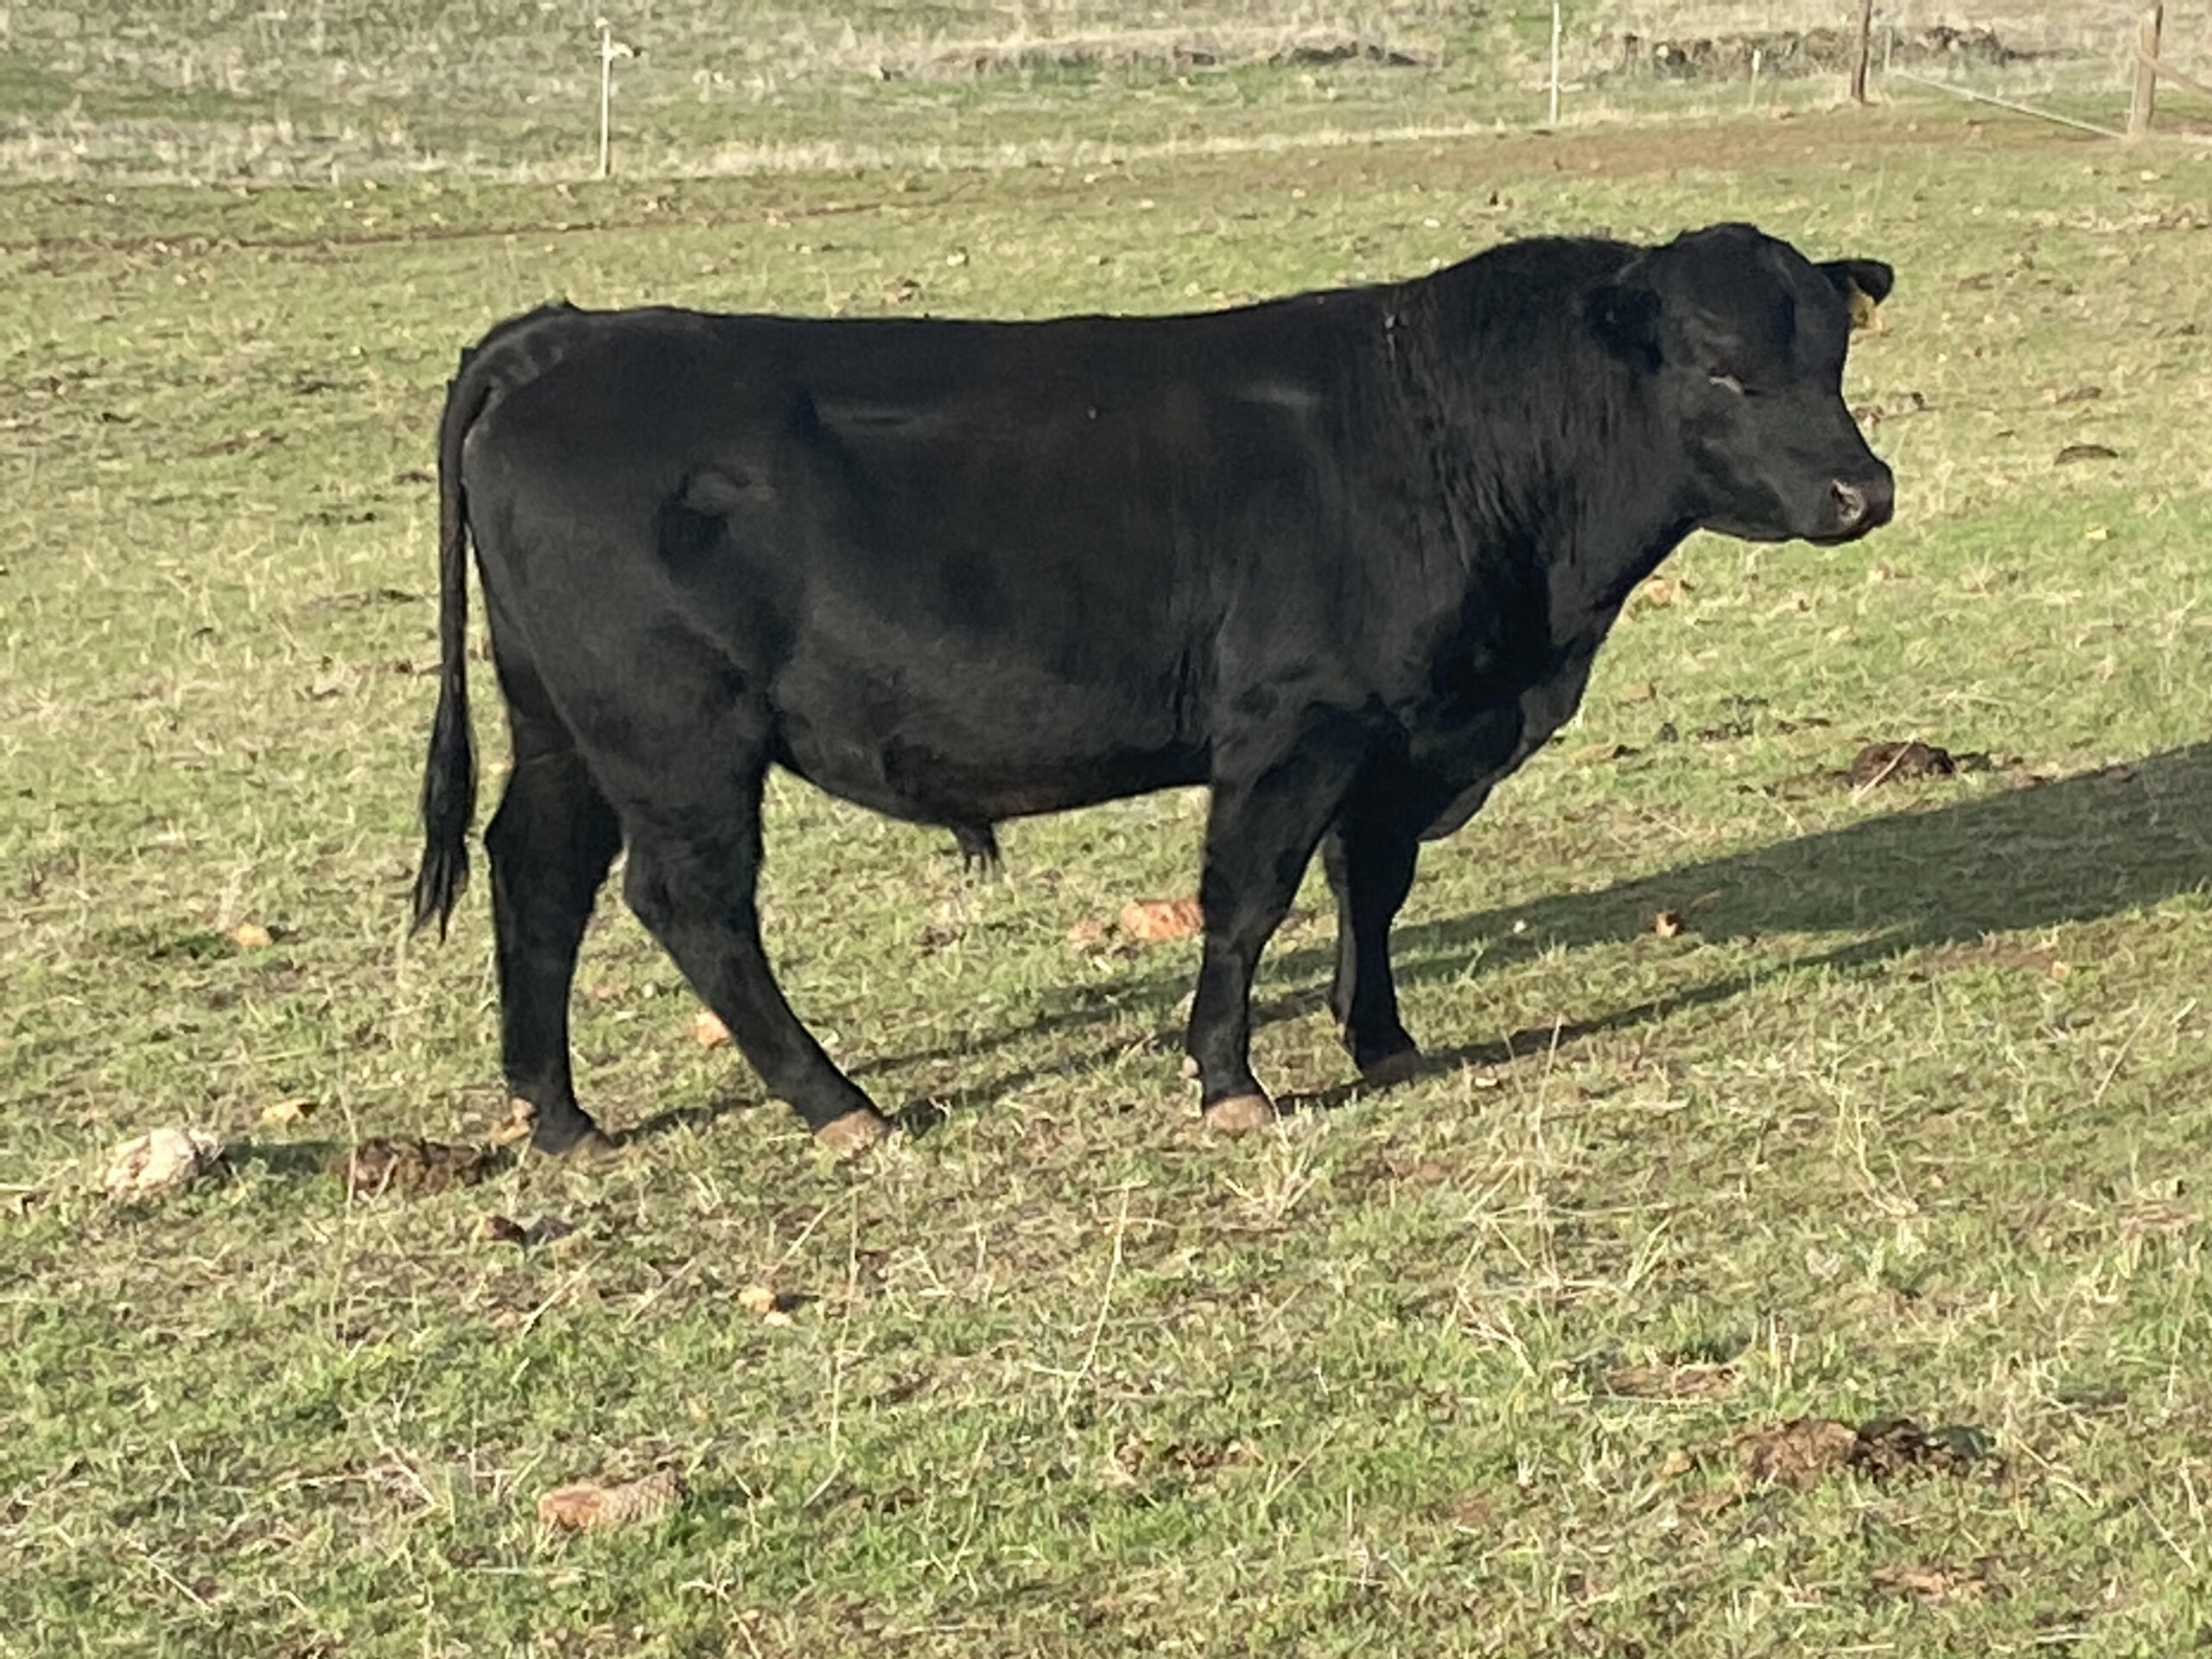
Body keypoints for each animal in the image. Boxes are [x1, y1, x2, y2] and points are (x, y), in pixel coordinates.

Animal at [411, 222, 1894, 1157]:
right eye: (1718, 365)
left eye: (1834, 355)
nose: (1861, 490)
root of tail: (569, 338)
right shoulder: (1297, 727)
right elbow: (1247, 904)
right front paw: (1230, 1082)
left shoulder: (1402, 737)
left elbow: (1372, 889)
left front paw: (1384, 1041)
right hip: (674, 736)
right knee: (690, 905)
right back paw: (839, 1105)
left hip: (565, 726)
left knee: (537, 873)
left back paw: (557, 1116)